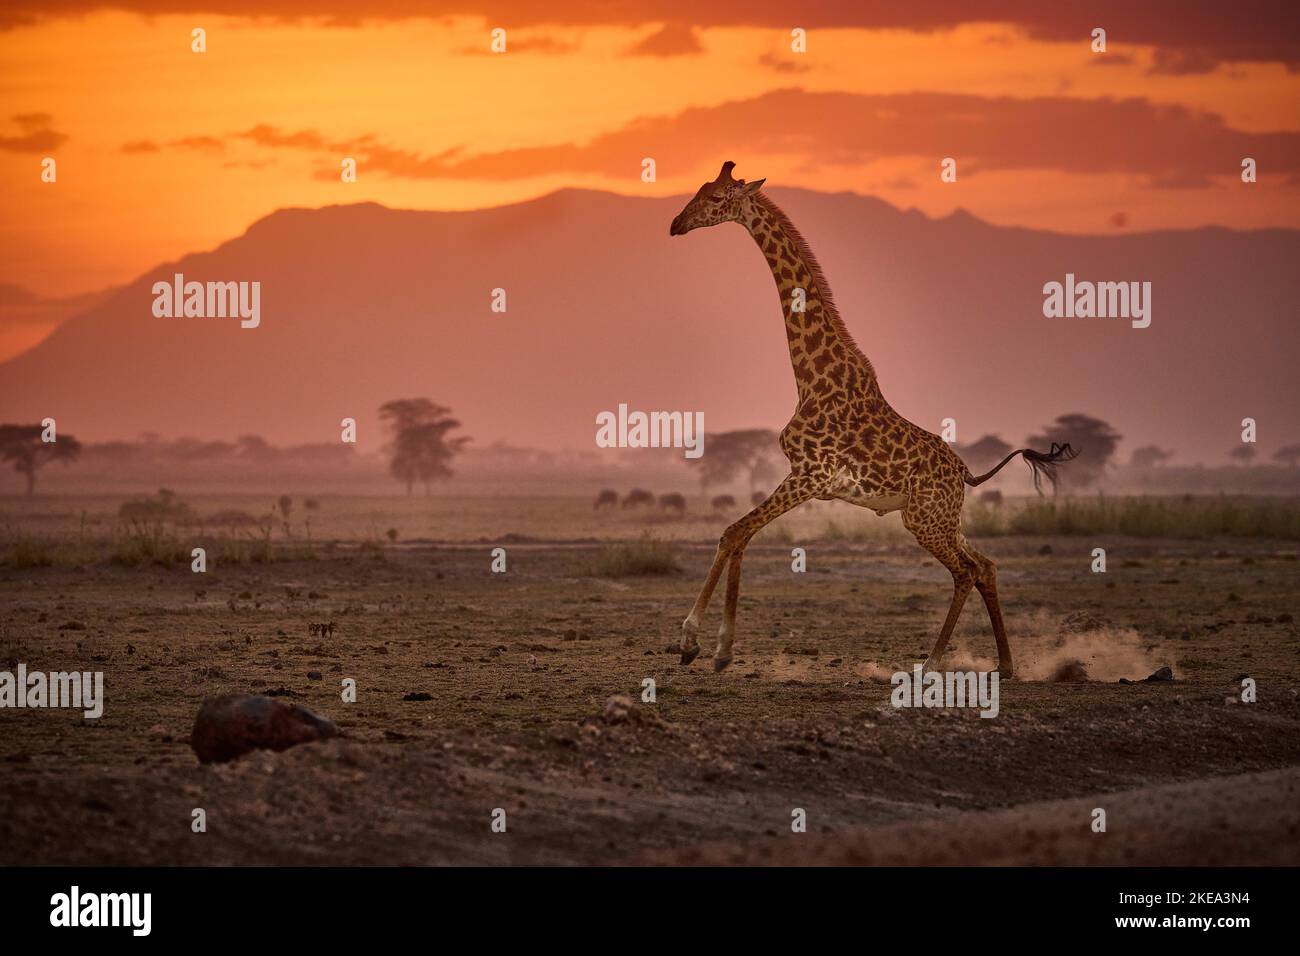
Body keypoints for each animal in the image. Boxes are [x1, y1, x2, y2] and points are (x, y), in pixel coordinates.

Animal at [669, 161, 1076, 677]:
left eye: (717, 198)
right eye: (700, 189)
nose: (676, 224)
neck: (810, 376)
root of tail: (966, 473)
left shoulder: (810, 474)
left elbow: (733, 533)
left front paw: (696, 642)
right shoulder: (805, 478)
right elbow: (738, 536)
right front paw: (715, 648)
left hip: (925, 519)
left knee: (965, 571)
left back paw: (932, 661)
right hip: (940, 517)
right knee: (985, 565)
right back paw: (1004, 665)